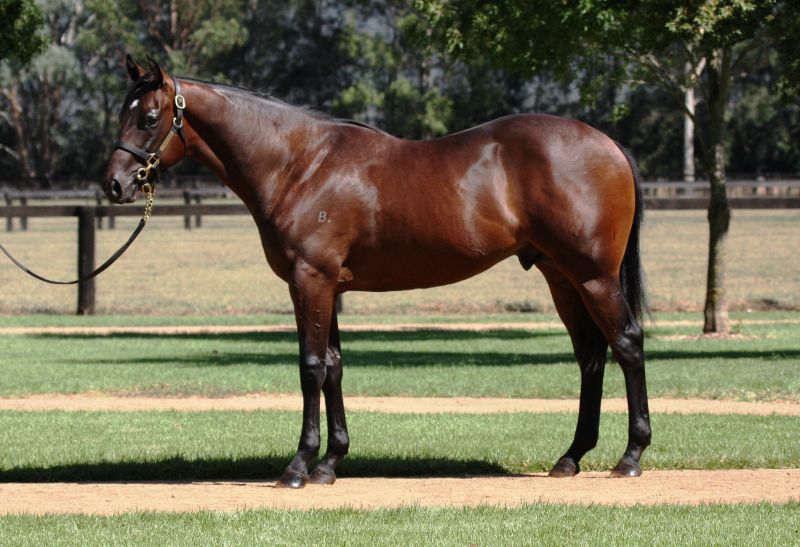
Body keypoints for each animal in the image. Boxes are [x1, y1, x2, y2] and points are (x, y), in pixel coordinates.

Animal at [104, 55, 651, 488]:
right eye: (122, 113)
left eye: (148, 117)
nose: (113, 184)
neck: (300, 164)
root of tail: (610, 146)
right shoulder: (327, 284)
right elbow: (334, 366)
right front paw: (330, 463)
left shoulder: (310, 280)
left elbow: (310, 367)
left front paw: (299, 467)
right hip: (561, 278)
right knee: (591, 355)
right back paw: (572, 456)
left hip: (594, 277)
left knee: (626, 343)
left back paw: (630, 456)